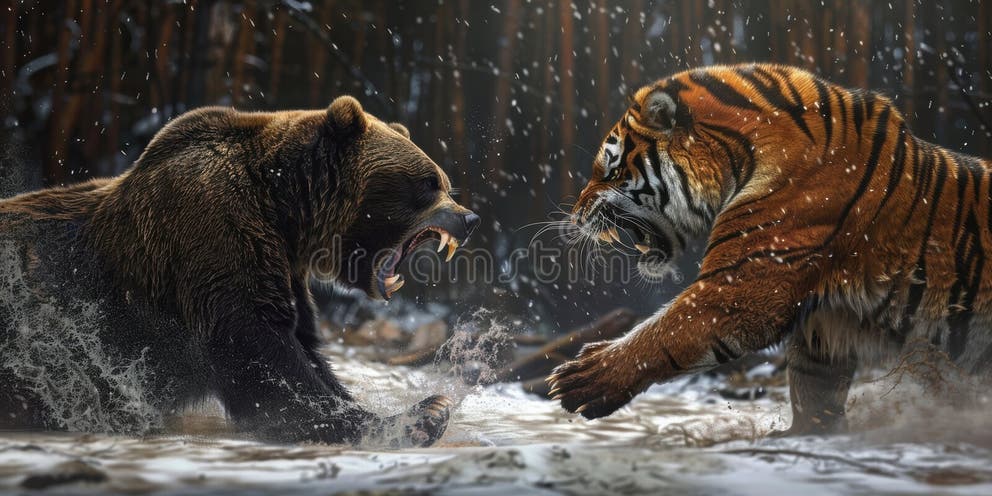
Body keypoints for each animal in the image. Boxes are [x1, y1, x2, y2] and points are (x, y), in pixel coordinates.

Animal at [0, 96, 480, 447]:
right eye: (428, 182)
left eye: (444, 182)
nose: (470, 218)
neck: (284, 210)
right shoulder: (214, 237)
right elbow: (260, 351)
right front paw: (415, 416)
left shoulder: (282, 268)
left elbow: (302, 345)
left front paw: (420, 411)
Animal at [547, 63, 992, 435]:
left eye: (610, 170)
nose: (575, 216)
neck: (743, 155)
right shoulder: (827, 321)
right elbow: (814, 388)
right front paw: (810, 437)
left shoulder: (742, 285)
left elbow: (666, 331)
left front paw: (585, 377)